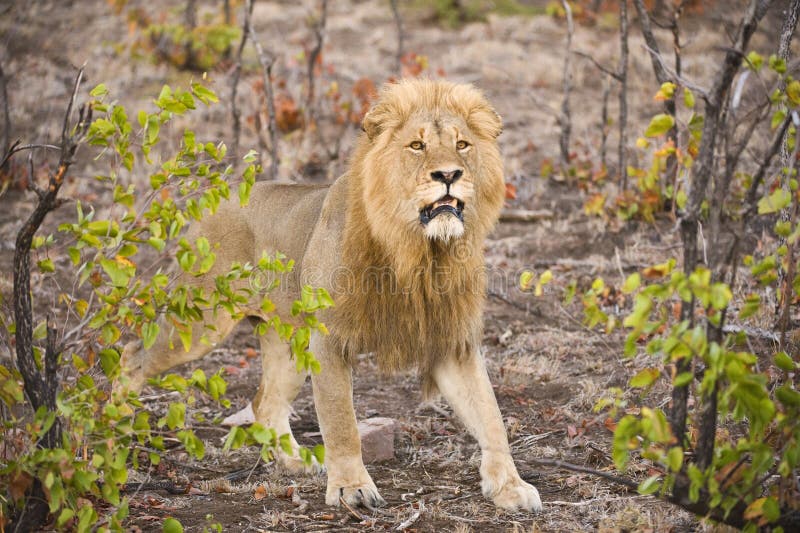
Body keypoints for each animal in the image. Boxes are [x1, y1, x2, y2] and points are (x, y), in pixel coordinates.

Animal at [120, 79, 542, 512]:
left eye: (462, 145)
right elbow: (342, 422)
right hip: (200, 324)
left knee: (265, 404)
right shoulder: (330, 338)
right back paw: (117, 426)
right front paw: (351, 488)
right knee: (132, 356)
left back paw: (296, 462)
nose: (448, 174)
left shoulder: (451, 342)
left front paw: (510, 486)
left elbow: (491, 417)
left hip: (288, 343)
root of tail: (218, 196)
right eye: (416, 145)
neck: (420, 251)